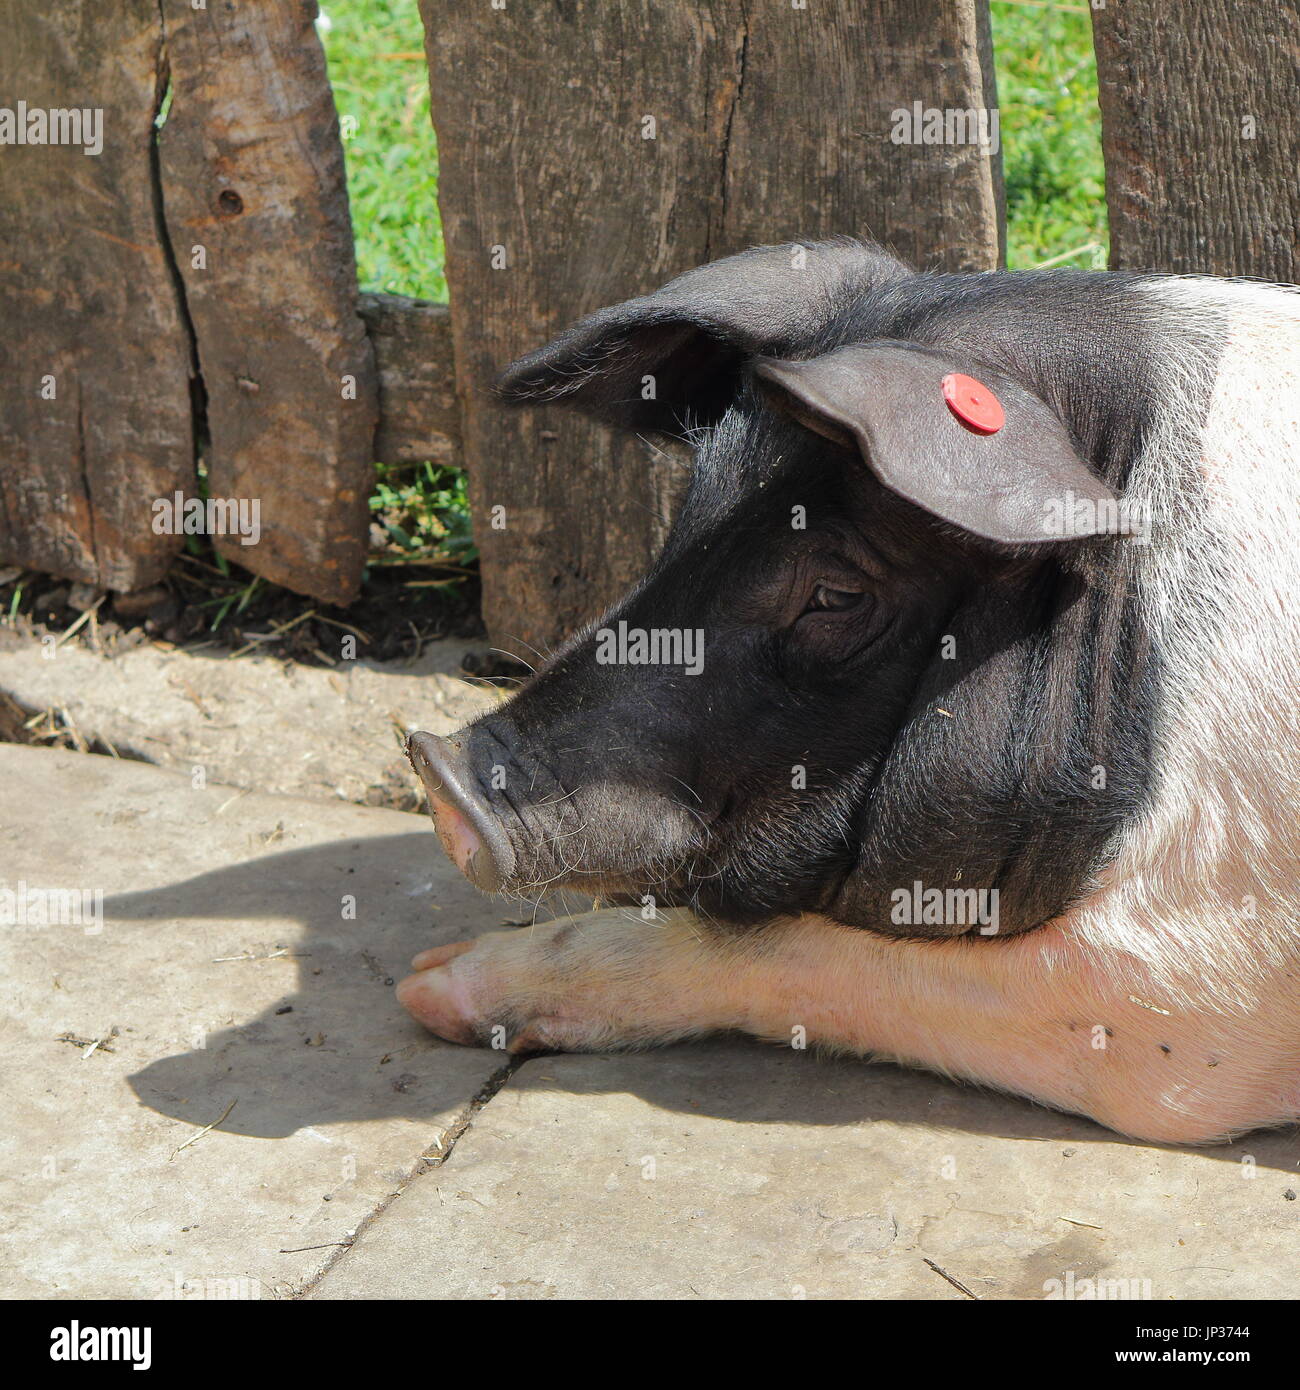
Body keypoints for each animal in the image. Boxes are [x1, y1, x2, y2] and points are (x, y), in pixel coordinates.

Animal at [399, 239, 1300, 1145]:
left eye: (835, 594)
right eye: (687, 519)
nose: (441, 769)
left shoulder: (1182, 996)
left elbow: (780, 947)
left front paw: (429, 985)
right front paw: (424, 980)